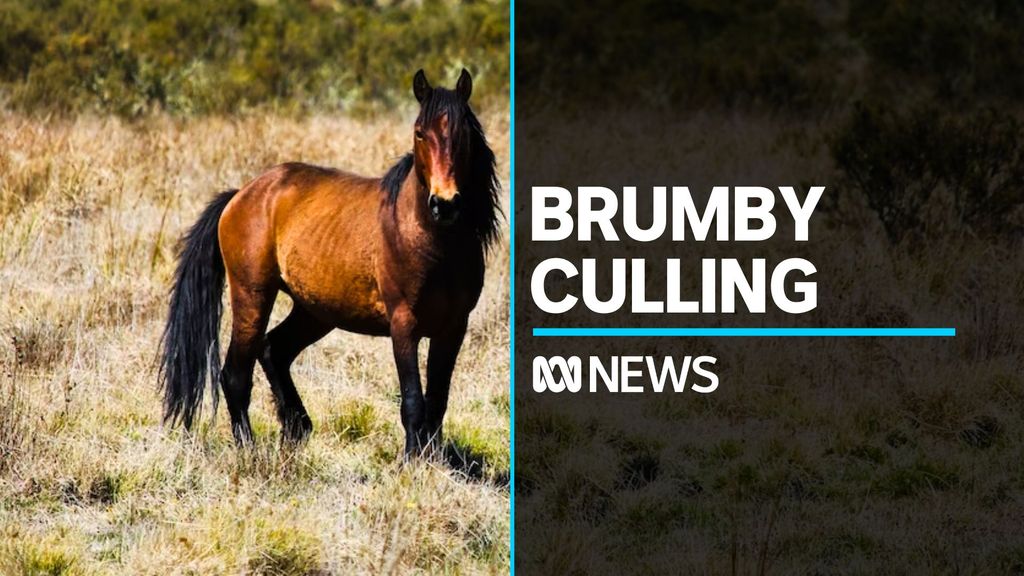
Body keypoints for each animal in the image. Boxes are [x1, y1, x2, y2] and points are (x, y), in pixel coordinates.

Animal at [158, 69, 501, 456]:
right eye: (419, 132)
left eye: (464, 135)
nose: (444, 204)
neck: (431, 242)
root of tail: (242, 194)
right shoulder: (404, 324)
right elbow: (413, 400)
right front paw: (412, 460)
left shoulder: (453, 327)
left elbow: (437, 401)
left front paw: (432, 457)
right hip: (252, 296)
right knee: (235, 372)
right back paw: (249, 447)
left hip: (315, 311)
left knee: (274, 350)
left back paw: (297, 428)